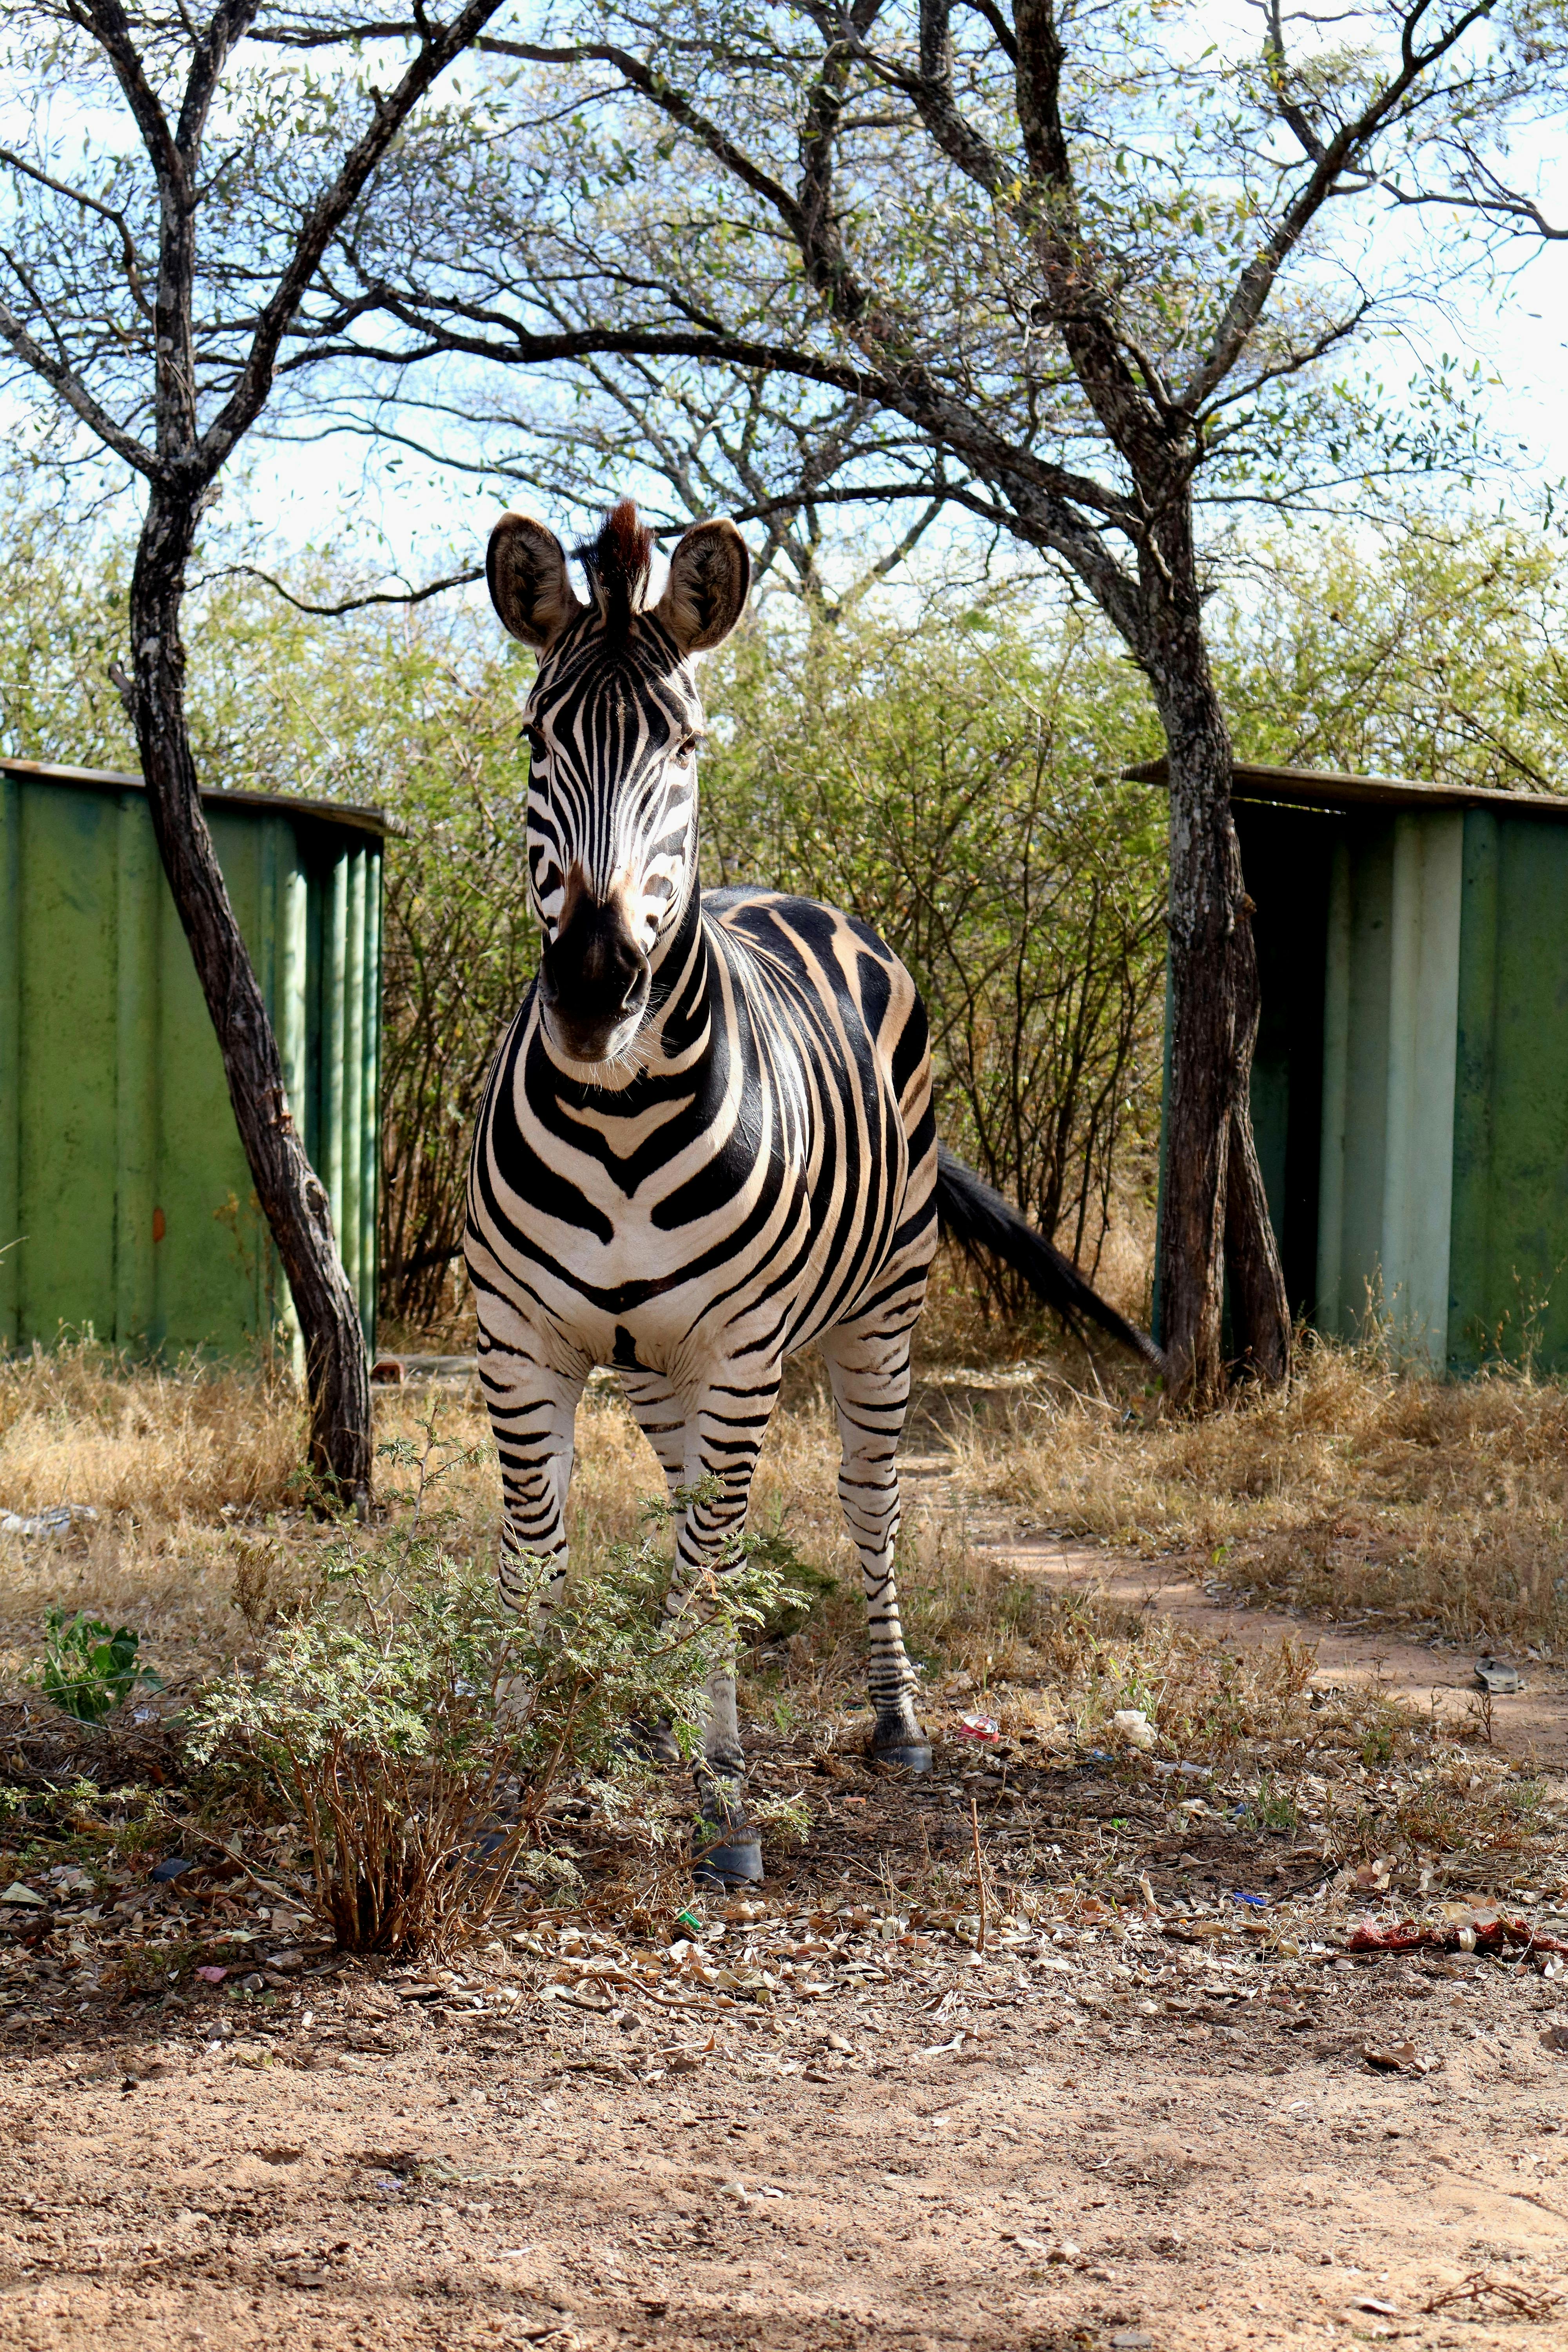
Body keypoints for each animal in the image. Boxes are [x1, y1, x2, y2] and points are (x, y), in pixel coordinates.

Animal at [465, 497, 1160, 1886]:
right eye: (533, 734)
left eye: (682, 744)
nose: (595, 988)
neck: (617, 1112)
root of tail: (795, 895)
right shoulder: (520, 1344)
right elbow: (535, 1566)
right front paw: (510, 1785)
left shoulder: (741, 1351)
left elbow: (716, 1571)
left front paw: (724, 1805)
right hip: (654, 1360)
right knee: (687, 1504)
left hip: (879, 1312)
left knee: (861, 1500)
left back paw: (893, 1718)